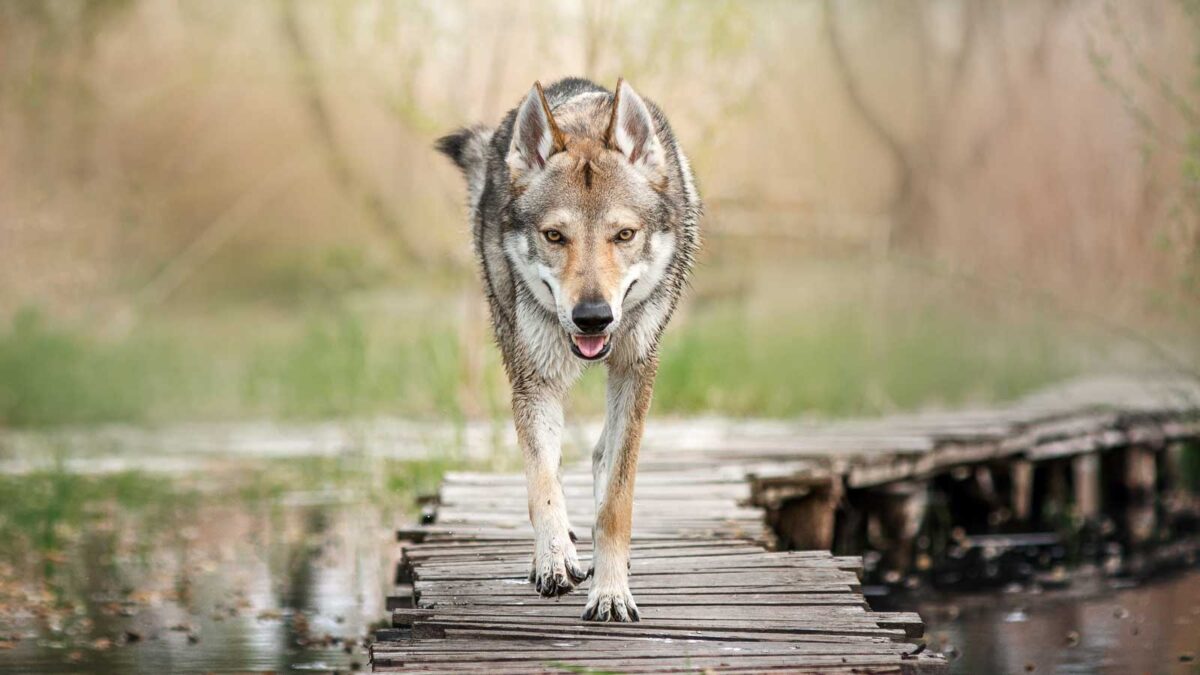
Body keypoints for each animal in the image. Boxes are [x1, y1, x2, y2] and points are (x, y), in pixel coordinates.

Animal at [436, 77, 700, 622]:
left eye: (624, 234)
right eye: (555, 236)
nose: (592, 317)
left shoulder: (635, 370)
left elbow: (617, 500)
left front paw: (611, 591)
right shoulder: (533, 380)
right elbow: (542, 483)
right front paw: (555, 558)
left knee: (600, 454)